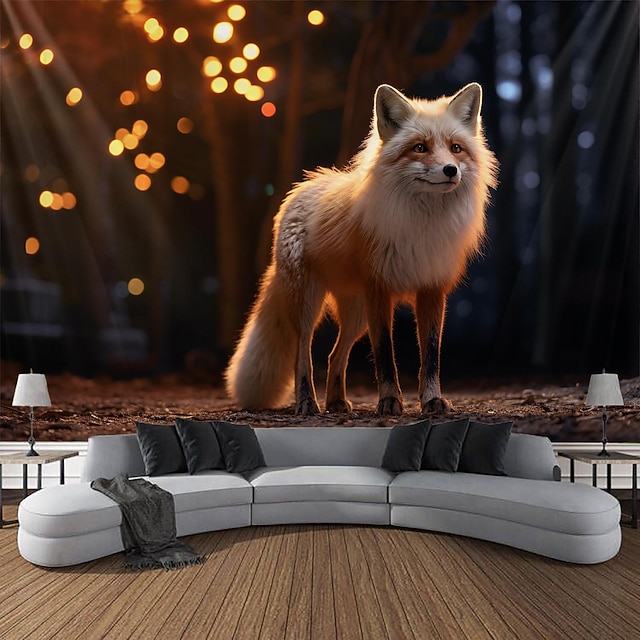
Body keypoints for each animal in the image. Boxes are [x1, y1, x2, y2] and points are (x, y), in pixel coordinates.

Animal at [225, 83, 498, 416]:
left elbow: (431, 355)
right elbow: (384, 354)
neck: (422, 223)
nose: (450, 170)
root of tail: (300, 189)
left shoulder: (432, 288)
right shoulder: (379, 288)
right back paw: (307, 402)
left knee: (334, 355)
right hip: (309, 304)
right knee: (302, 355)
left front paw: (431, 400)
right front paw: (389, 401)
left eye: (456, 148)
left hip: (356, 315)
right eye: (420, 148)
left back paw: (336, 403)